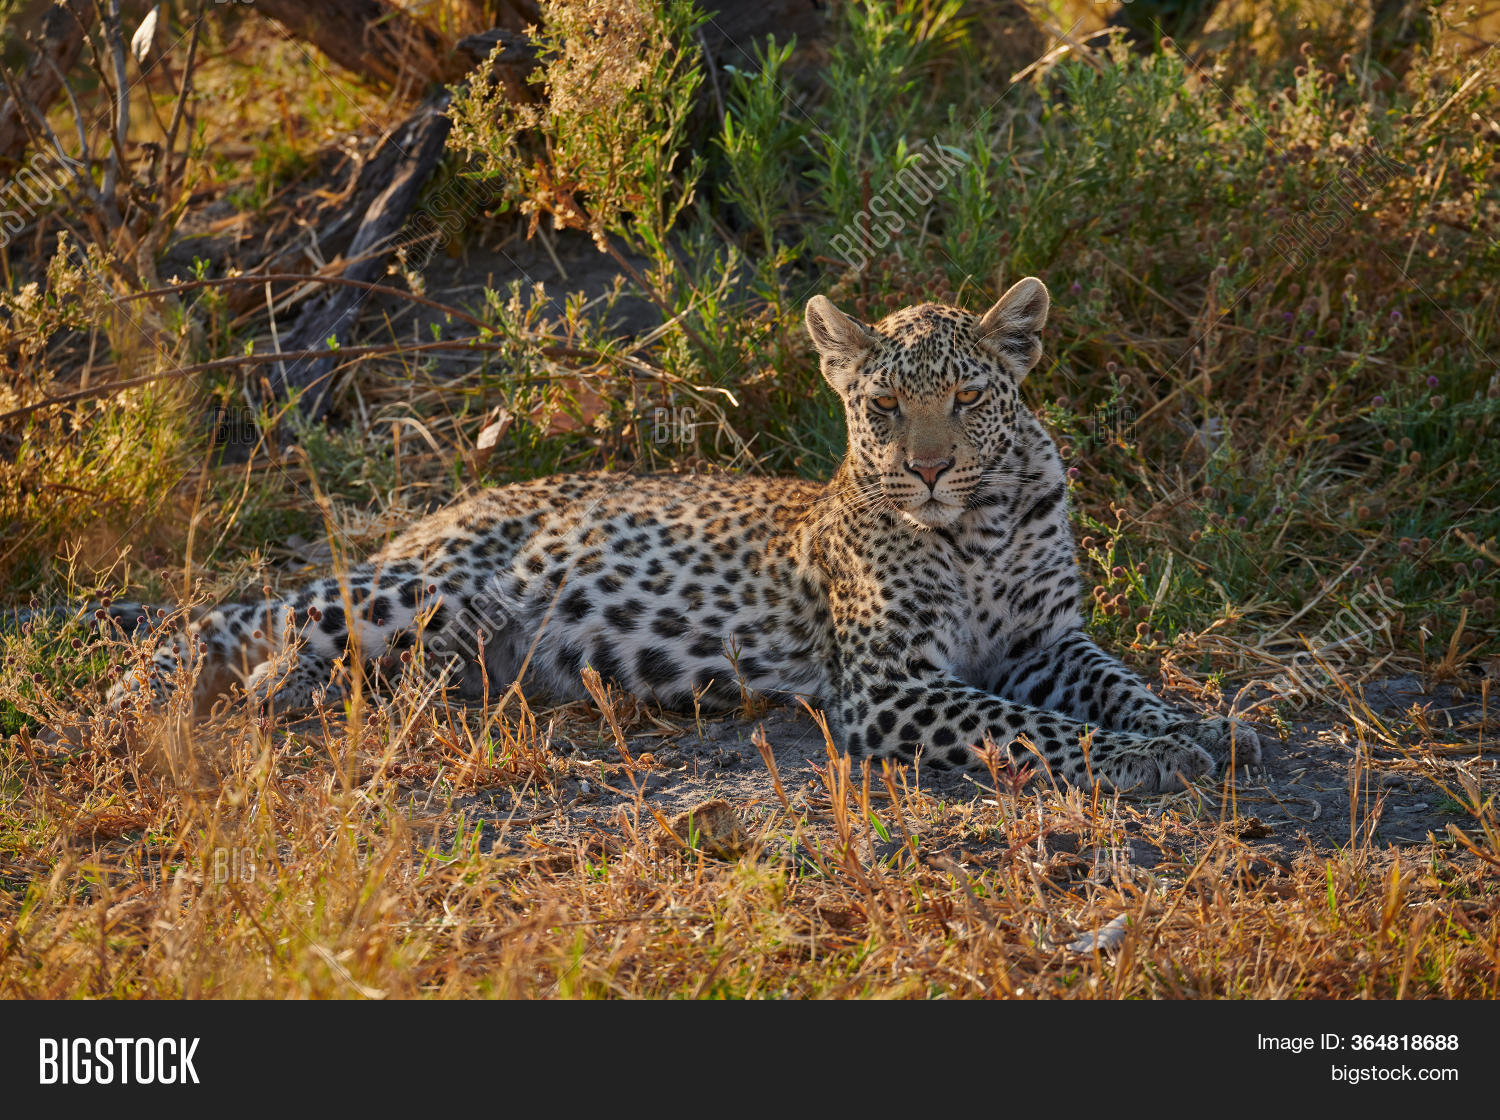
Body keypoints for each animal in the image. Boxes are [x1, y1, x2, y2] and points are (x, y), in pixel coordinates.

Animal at [109, 277, 1260, 791]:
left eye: (969, 401)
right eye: (883, 407)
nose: (928, 467)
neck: (974, 527)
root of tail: (453, 505)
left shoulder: (1046, 642)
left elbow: (1118, 687)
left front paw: (1201, 729)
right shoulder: (892, 687)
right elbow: (1039, 731)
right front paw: (1148, 758)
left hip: (437, 637)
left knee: (307, 661)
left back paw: (278, 695)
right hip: (424, 588)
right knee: (231, 614)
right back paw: (142, 693)